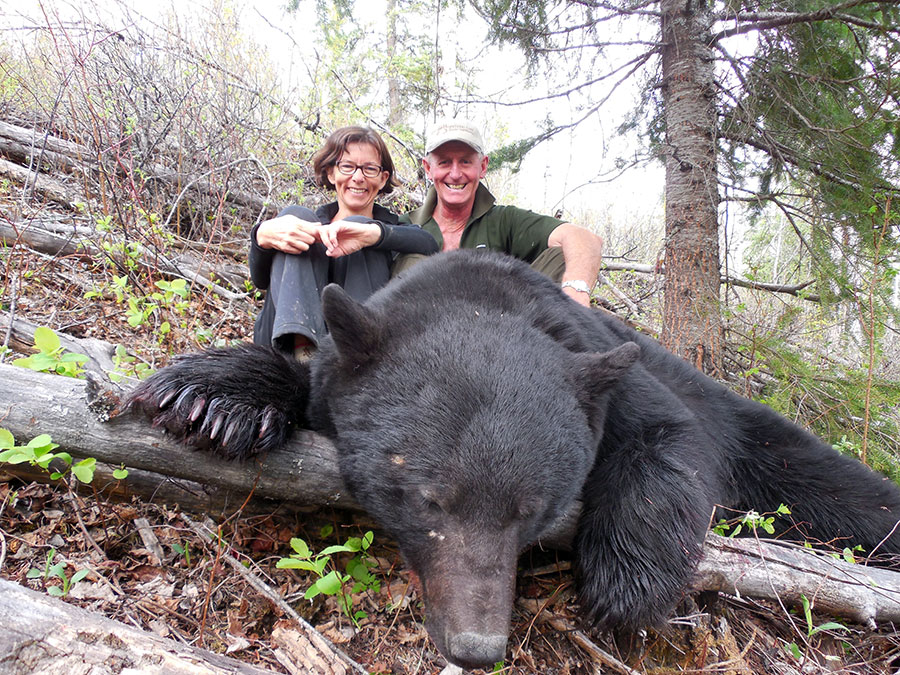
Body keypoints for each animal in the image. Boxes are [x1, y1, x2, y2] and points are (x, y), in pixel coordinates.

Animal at [127, 249, 900, 670]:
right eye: (427, 497)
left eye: (533, 512)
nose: (474, 644)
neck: (480, 295)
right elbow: (301, 378)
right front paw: (211, 397)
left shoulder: (613, 370)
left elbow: (669, 437)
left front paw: (627, 577)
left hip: (767, 437)